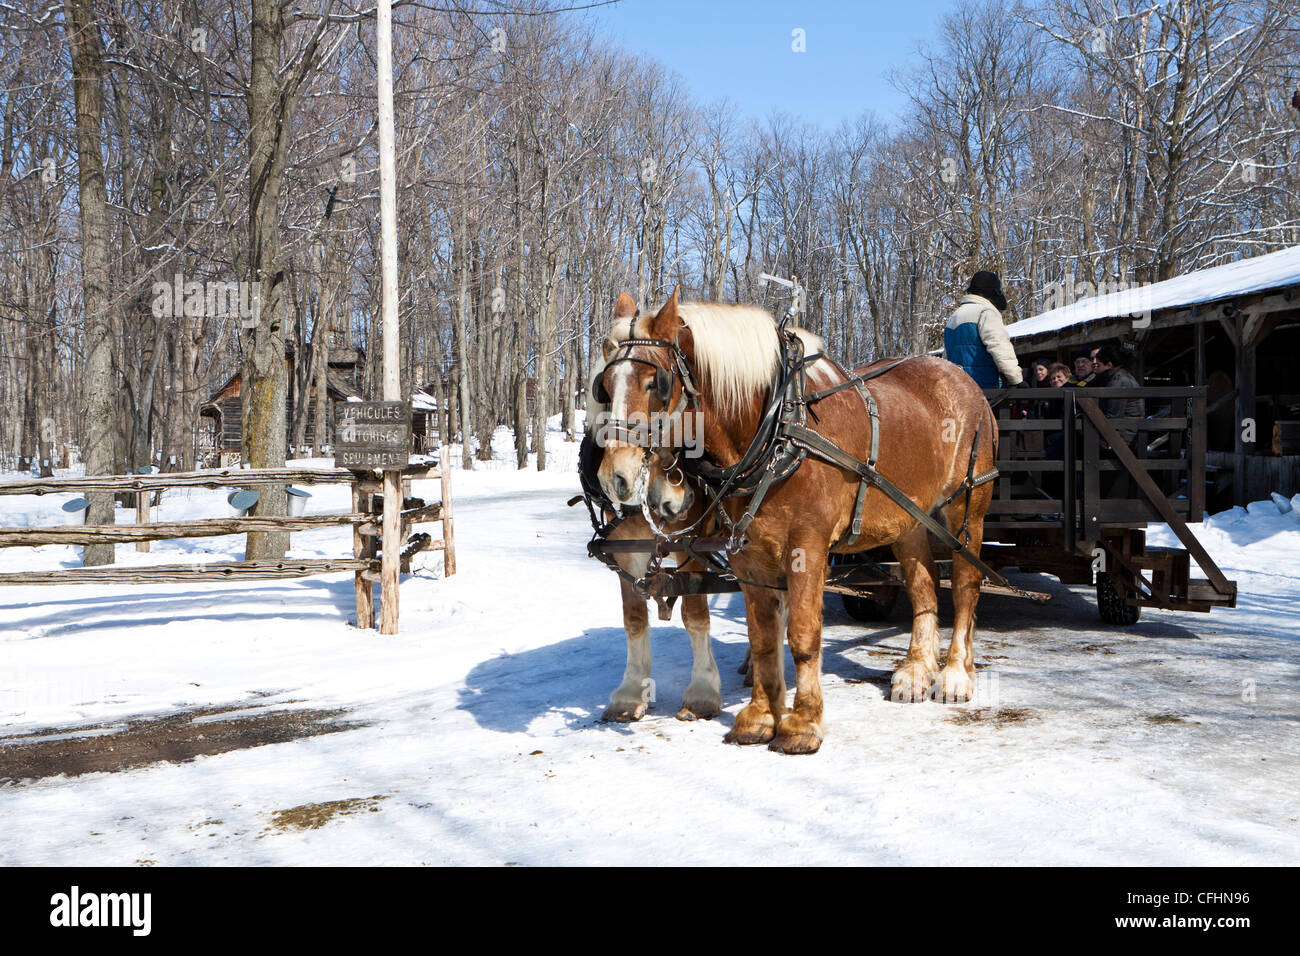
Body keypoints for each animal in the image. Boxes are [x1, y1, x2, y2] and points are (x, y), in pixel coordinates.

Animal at [596, 288, 999, 755]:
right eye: (605, 386)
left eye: (655, 384)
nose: (614, 476)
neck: (778, 430)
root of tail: (960, 377)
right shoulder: (749, 556)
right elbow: (763, 638)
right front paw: (758, 717)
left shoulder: (807, 546)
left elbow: (804, 635)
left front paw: (802, 723)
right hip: (910, 520)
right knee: (924, 586)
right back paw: (917, 671)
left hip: (967, 509)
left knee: (967, 584)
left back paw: (955, 674)